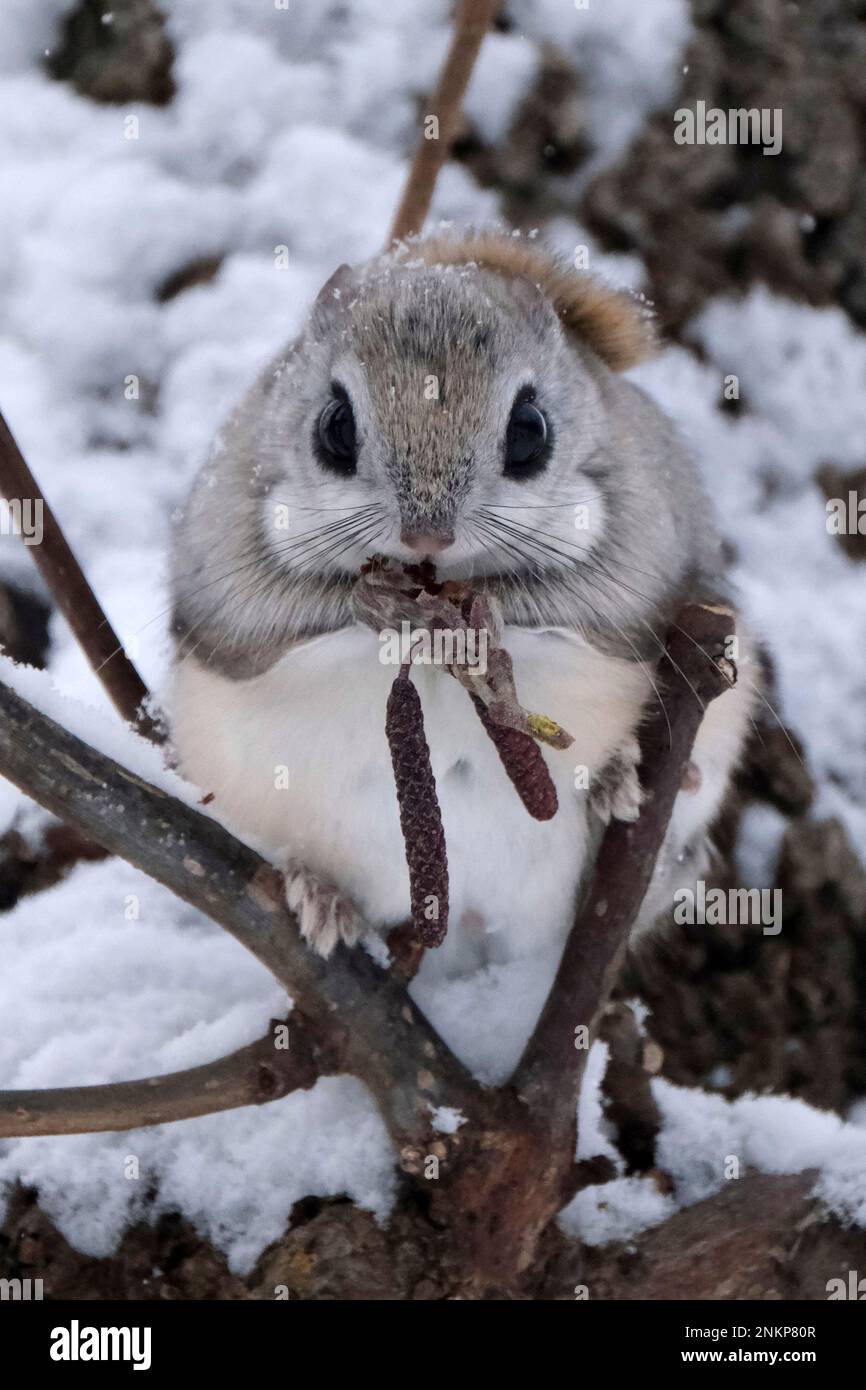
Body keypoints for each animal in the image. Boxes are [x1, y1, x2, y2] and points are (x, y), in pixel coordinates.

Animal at [169, 230, 755, 978]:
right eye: (334, 427)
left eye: (530, 430)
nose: (428, 534)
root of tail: (474, 928)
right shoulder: (229, 559)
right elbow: (277, 617)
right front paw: (380, 606)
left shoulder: (639, 543)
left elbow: (573, 604)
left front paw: (479, 616)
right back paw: (322, 896)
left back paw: (624, 787)